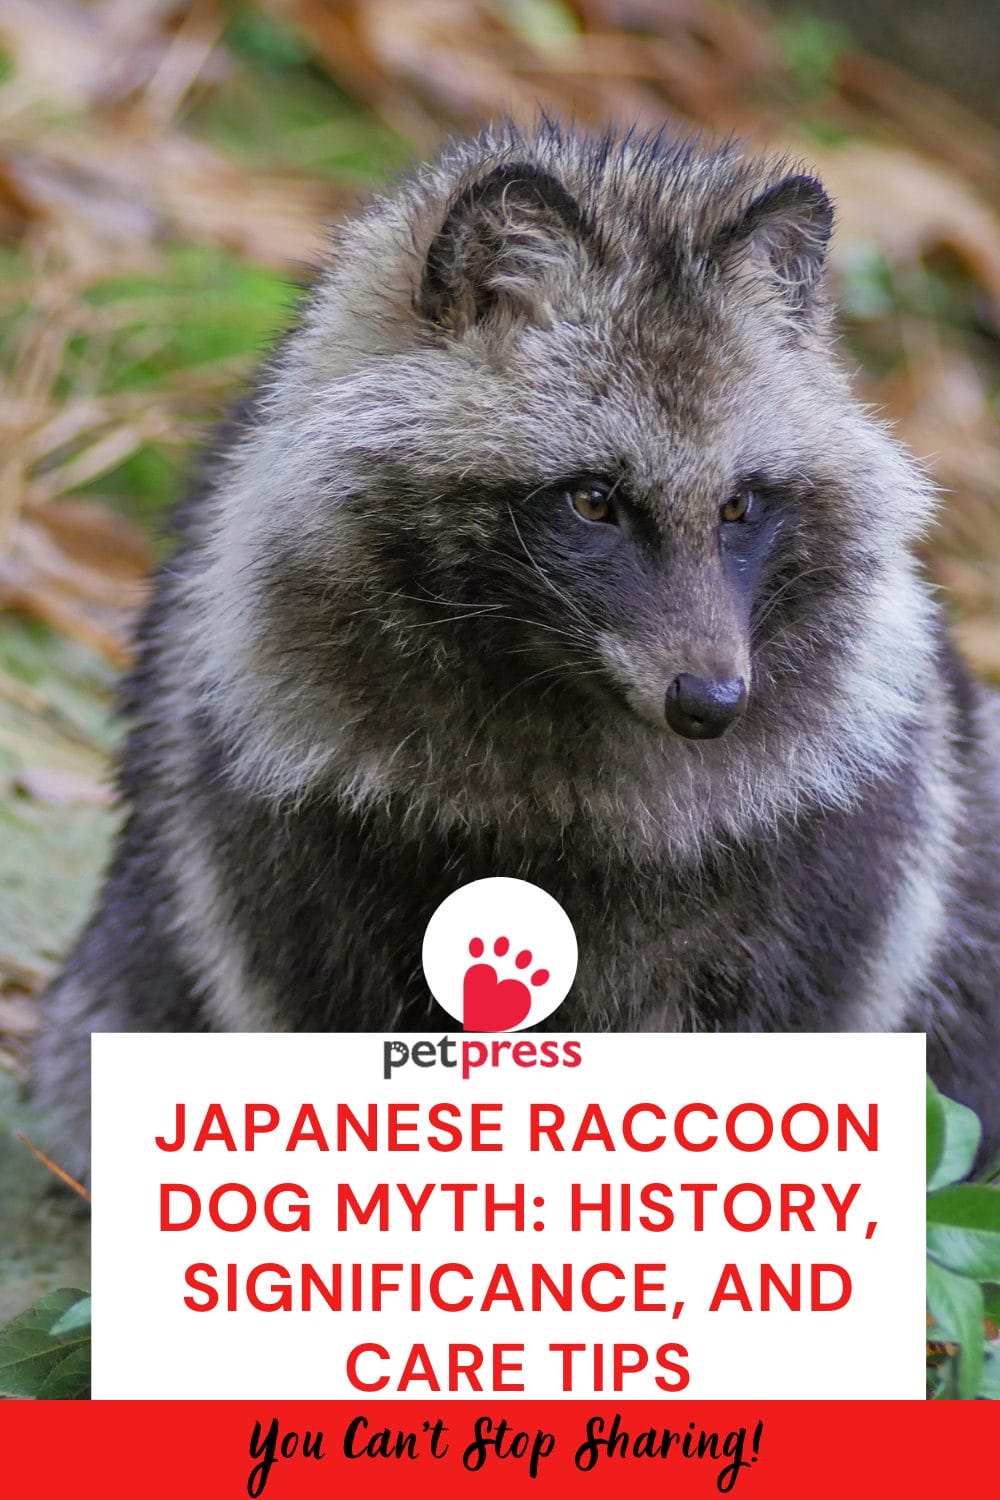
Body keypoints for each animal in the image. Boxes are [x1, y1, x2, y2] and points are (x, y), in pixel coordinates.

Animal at [33, 121, 1000, 1181]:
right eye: (592, 500)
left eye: (740, 506)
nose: (711, 703)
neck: (561, 700)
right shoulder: (293, 852)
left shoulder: (822, 872)